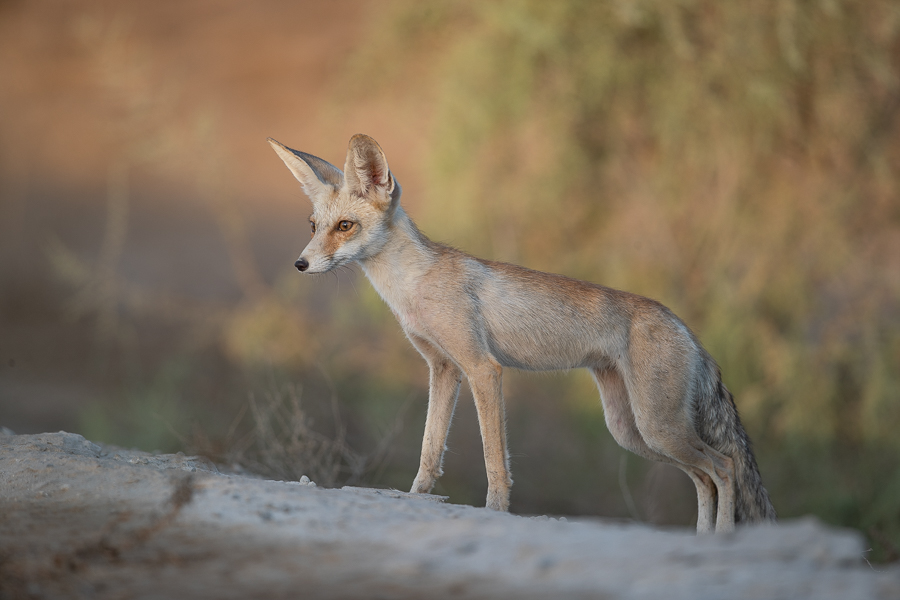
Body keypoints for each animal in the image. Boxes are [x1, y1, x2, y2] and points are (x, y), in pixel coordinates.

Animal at [268, 133, 776, 534]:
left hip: (657, 427)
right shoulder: (443, 369)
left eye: (345, 226)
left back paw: (724, 540)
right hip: (634, 432)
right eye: (314, 226)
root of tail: (685, 325)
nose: (300, 264)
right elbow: (429, 452)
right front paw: (415, 498)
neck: (413, 285)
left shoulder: (482, 369)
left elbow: (495, 462)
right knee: (704, 477)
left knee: (725, 466)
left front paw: (495, 511)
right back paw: (705, 539)